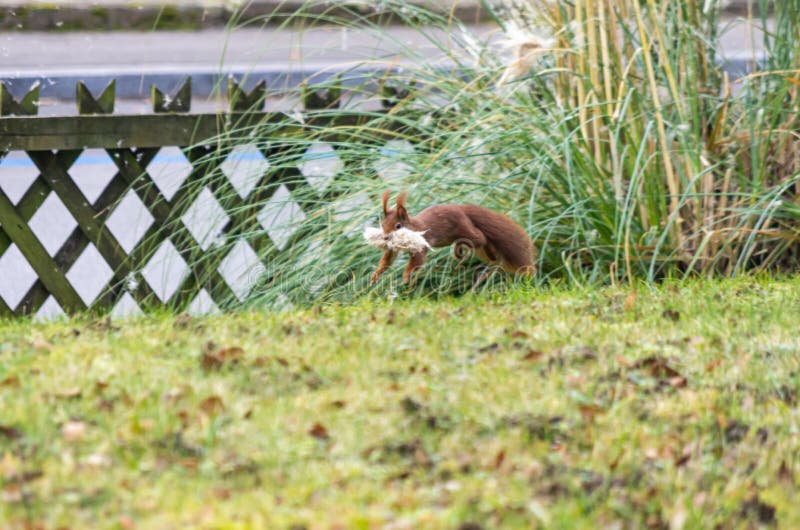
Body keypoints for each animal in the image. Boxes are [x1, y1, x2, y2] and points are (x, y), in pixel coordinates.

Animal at [370, 191, 537, 285]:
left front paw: (406, 276)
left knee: (481, 238)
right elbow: (387, 260)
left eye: (398, 226)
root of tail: (461, 209)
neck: (414, 227)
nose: (385, 238)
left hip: (464, 229)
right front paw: (375, 275)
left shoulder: (421, 245)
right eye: (382, 224)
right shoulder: (392, 249)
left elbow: (417, 262)